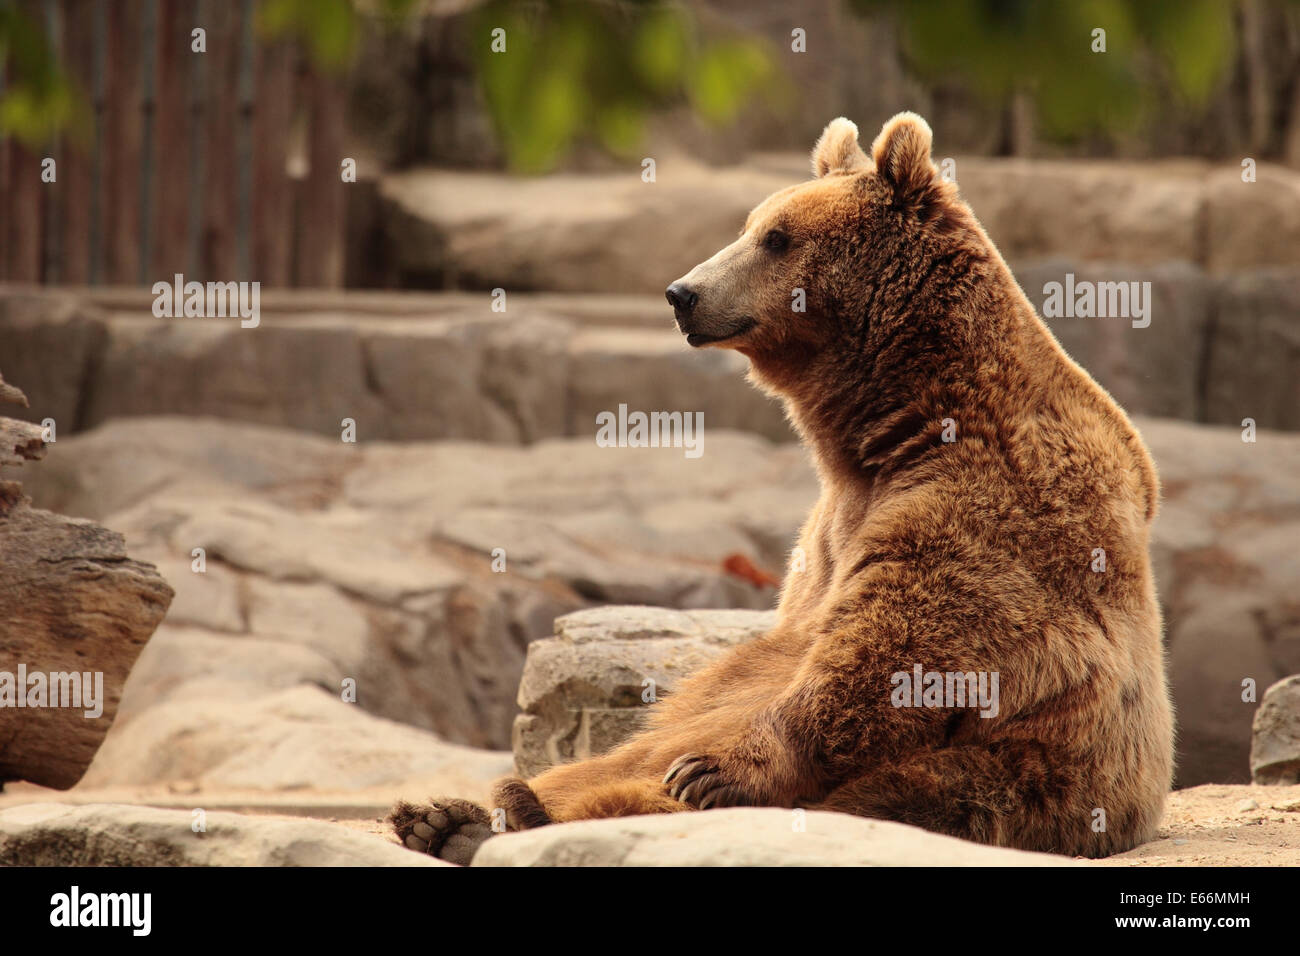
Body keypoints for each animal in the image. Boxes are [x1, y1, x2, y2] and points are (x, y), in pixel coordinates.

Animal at [390, 112, 1174, 863]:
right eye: (751, 225)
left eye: (777, 237)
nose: (683, 293)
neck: (895, 421)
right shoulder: (829, 533)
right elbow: (768, 656)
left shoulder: (985, 505)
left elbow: (898, 651)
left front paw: (714, 773)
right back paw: (454, 815)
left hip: (1010, 776)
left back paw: (509, 817)